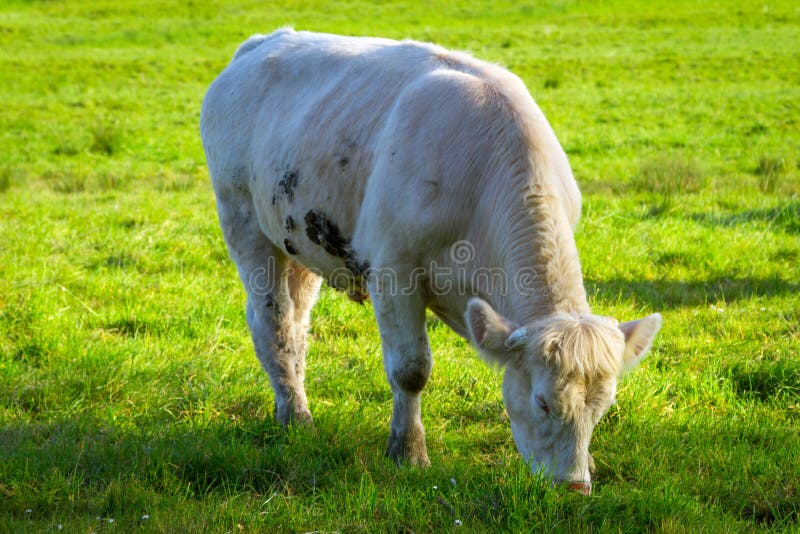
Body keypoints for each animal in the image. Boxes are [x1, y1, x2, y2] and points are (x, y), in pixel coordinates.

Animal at [200, 29, 662, 495]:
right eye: (543, 402)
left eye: (603, 407)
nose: (574, 486)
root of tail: (265, 41)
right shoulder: (393, 273)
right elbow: (411, 370)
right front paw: (408, 452)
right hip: (244, 223)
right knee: (272, 322)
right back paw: (295, 417)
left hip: (299, 243)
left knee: (296, 326)